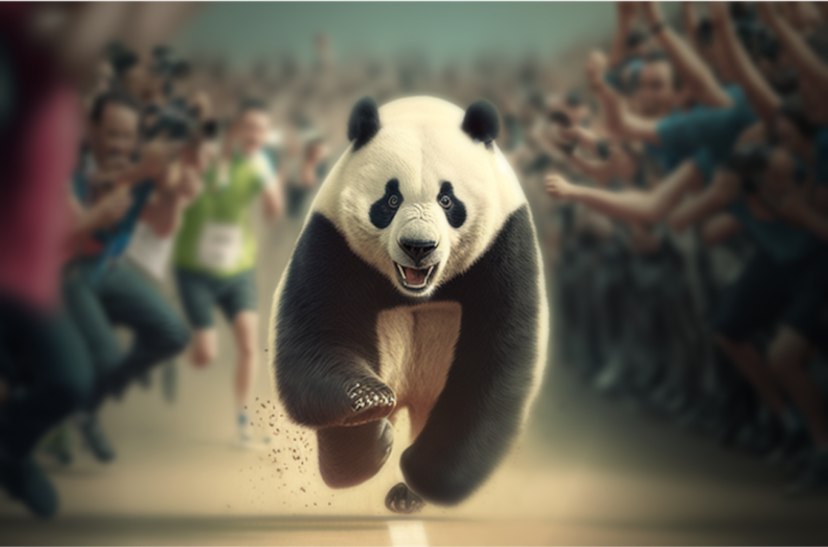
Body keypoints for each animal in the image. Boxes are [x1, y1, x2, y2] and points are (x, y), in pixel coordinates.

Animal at [270, 95, 548, 514]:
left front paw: (421, 473)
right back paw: (369, 447)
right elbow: (318, 336)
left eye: (448, 200)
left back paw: (405, 495)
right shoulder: (333, 238)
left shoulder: (504, 244)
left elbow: (493, 366)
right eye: (390, 199)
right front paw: (367, 401)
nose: (419, 246)